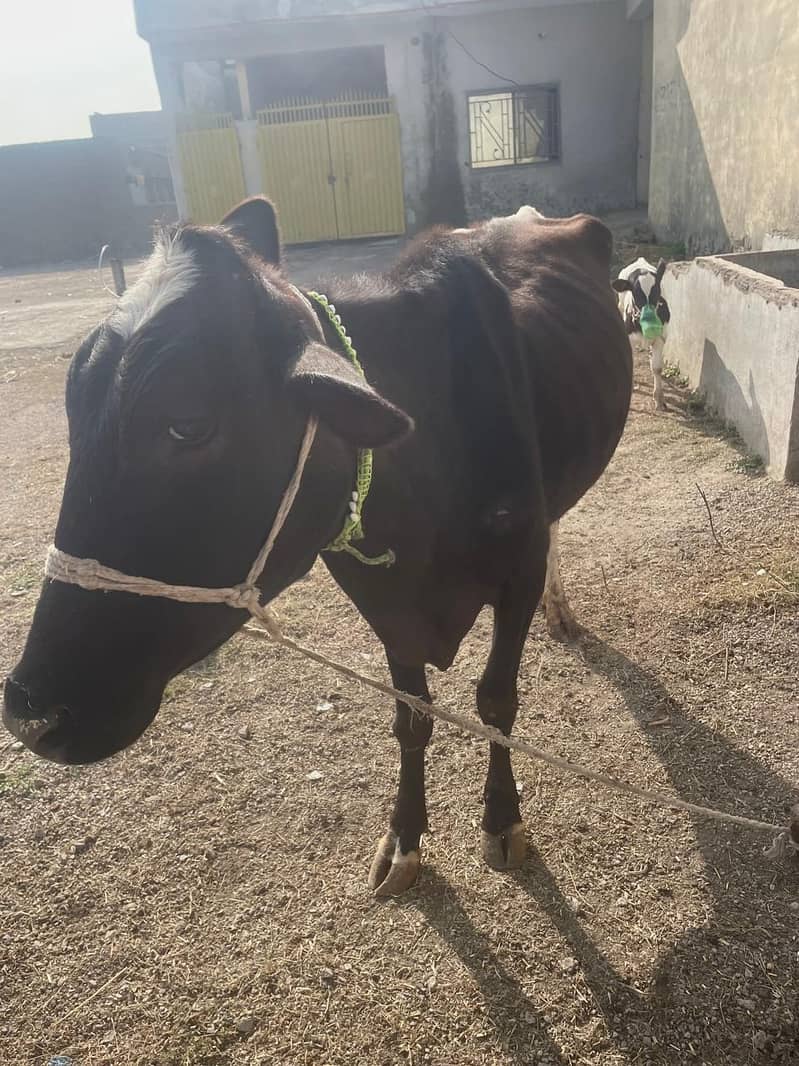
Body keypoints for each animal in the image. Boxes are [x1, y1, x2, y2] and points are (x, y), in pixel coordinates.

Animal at [3, 198, 632, 896]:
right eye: (73, 412)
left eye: (188, 424)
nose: (30, 714)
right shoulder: (386, 606)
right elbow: (411, 716)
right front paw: (405, 838)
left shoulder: (515, 576)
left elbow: (496, 699)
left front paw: (502, 821)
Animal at [612, 257, 670, 410]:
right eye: (635, 292)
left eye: (656, 290)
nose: (651, 322)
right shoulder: (629, 339)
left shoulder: (660, 338)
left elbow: (657, 368)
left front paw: (659, 398)